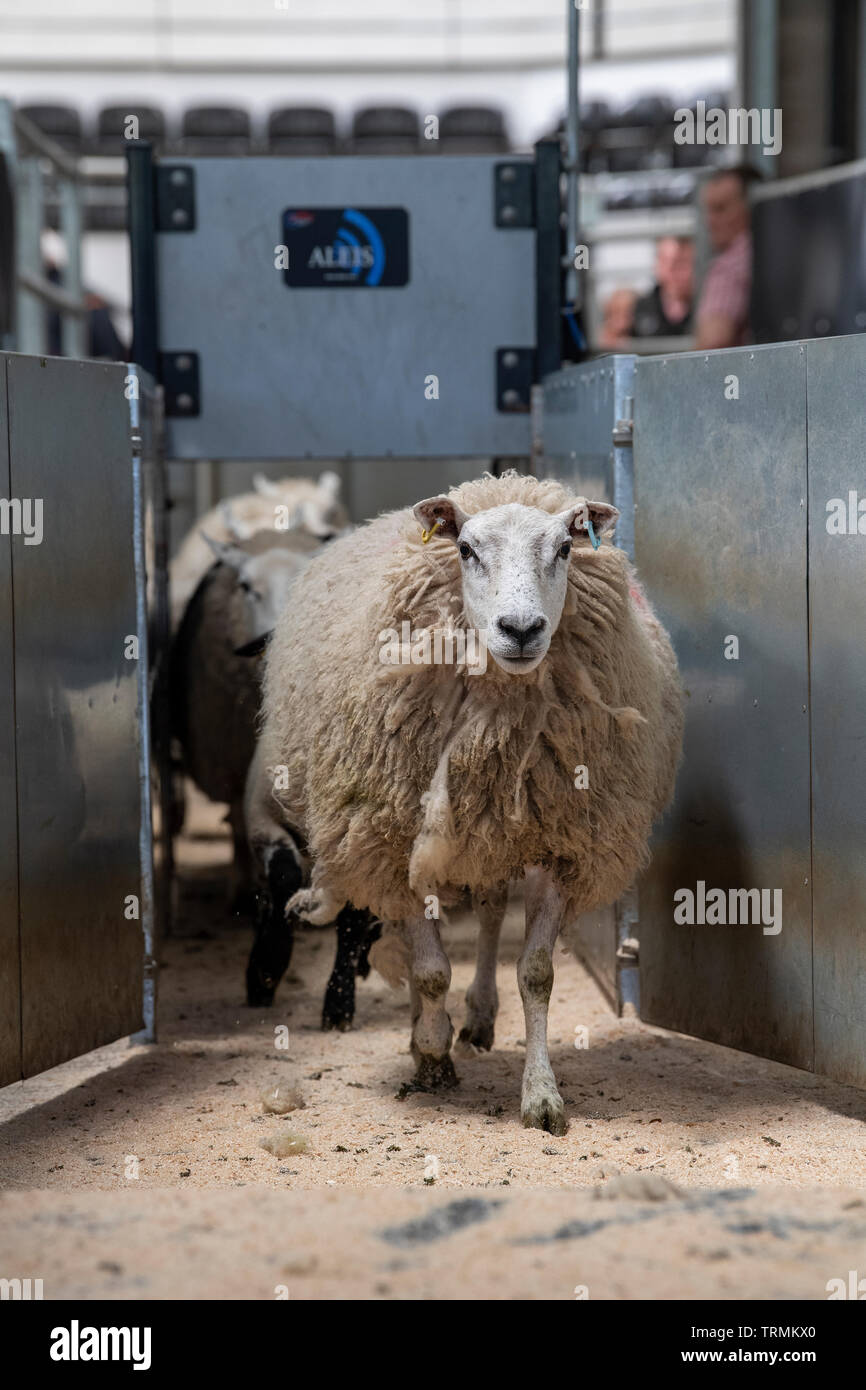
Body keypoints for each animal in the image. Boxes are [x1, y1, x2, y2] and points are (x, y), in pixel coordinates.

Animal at [255, 471, 683, 1133]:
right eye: (465, 550)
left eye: (565, 547)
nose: (522, 629)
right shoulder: (393, 841)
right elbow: (431, 971)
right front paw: (432, 1058)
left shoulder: (563, 844)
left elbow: (537, 974)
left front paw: (541, 1096)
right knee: (428, 944)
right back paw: (425, 1031)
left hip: (493, 836)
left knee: (487, 913)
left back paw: (480, 1015)